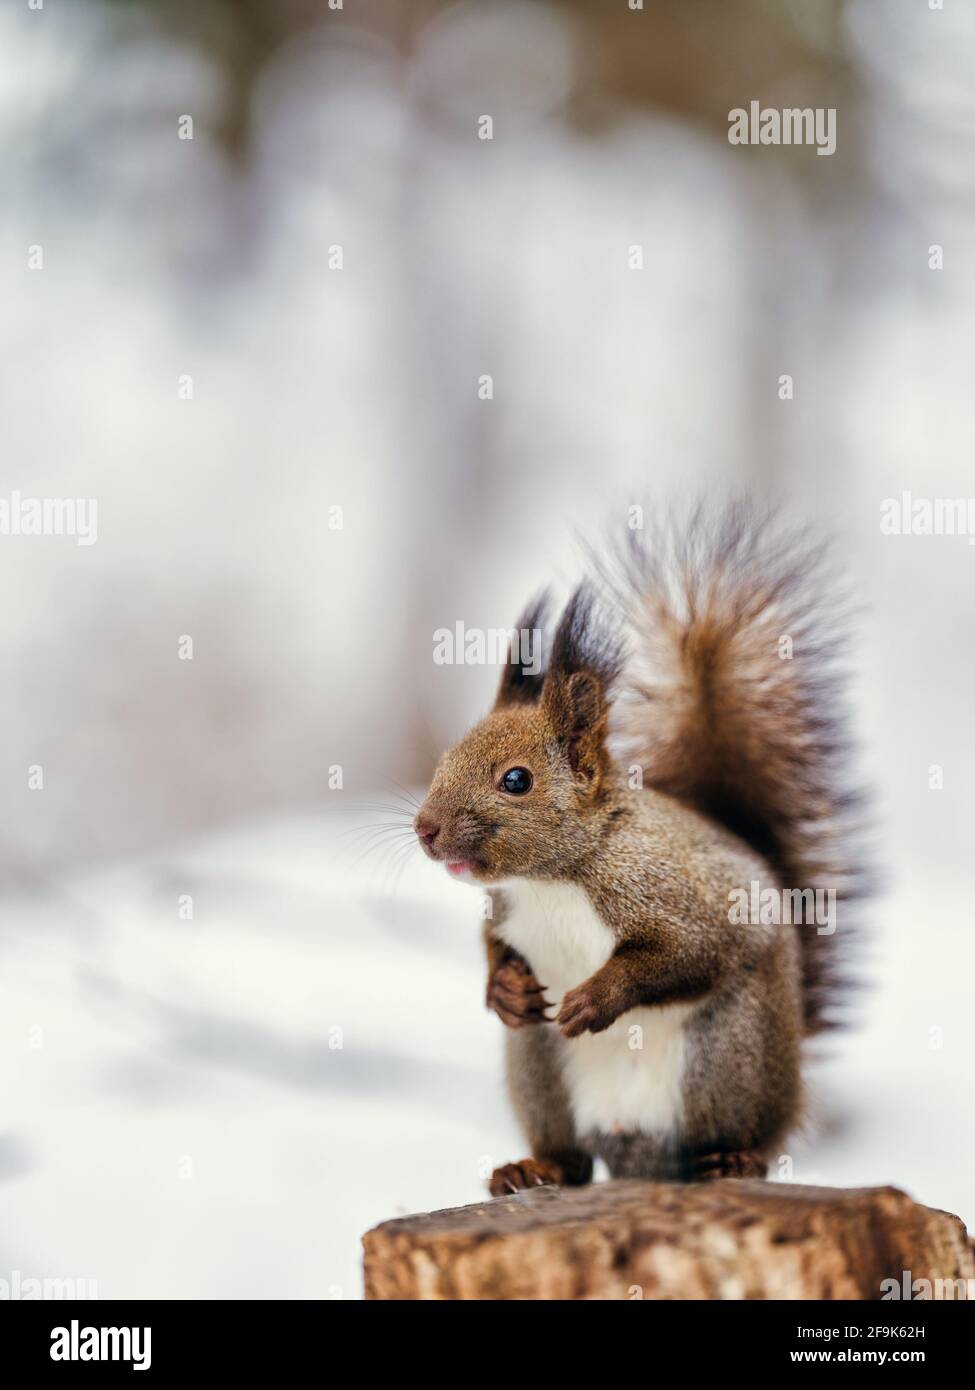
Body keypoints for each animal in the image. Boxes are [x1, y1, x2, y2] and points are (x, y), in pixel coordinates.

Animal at [414, 504, 863, 1194]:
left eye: (516, 780)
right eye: (443, 761)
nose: (425, 829)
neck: (551, 880)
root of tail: (636, 1151)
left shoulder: (669, 895)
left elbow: (683, 954)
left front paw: (595, 999)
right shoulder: (505, 911)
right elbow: (492, 946)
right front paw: (503, 991)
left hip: (730, 1057)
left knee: (745, 1137)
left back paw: (735, 1159)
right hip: (539, 1067)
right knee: (572, 1158)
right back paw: (533, 1167)